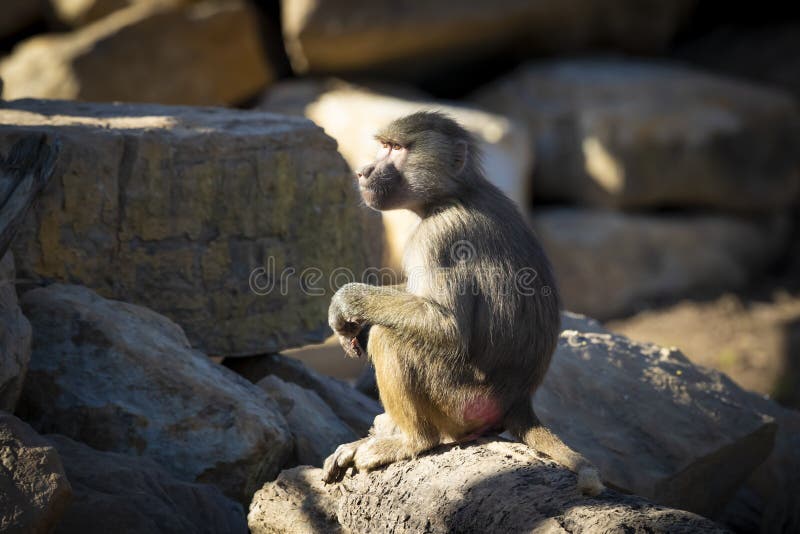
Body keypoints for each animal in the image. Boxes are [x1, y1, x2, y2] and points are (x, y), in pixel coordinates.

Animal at [322, 111, 604, 496]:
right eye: (384, 146)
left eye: (396, 148)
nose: (364, 171)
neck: (453, 193)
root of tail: (518, 402)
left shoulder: (439, 236)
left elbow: (446, 325)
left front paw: (347, 301)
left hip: (457, 398)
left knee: (390, 339)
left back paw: (410, 441)